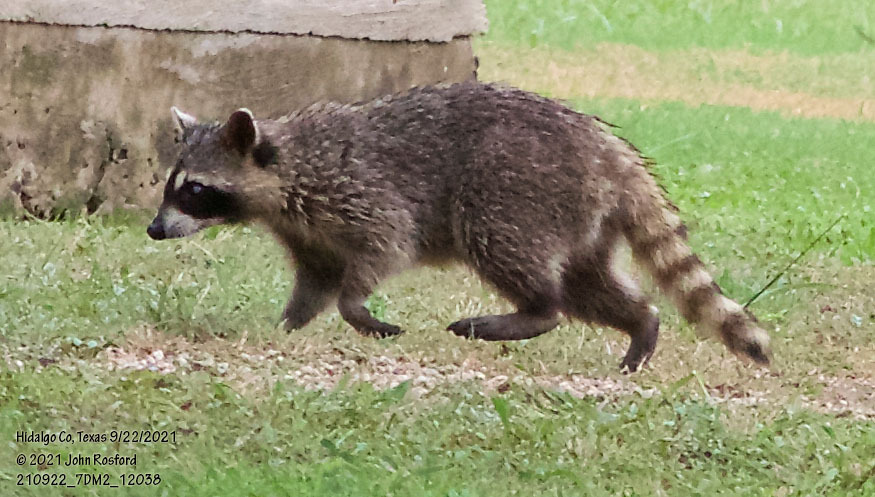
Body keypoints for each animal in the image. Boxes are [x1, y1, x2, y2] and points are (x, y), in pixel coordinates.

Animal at [147, 81, 770, 372]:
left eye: (194, 190)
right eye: (170, 184)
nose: (153, 231)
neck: (285, 165)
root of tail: (609, 153)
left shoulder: (359, 192)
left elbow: (385, 246)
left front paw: (357, 308)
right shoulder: (307, 230)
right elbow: (316, 280)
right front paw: (287, 326)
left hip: (519, 189)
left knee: (514, 256)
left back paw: (533, 312)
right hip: (582, 220)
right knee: (589, 286)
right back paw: (642, 323)